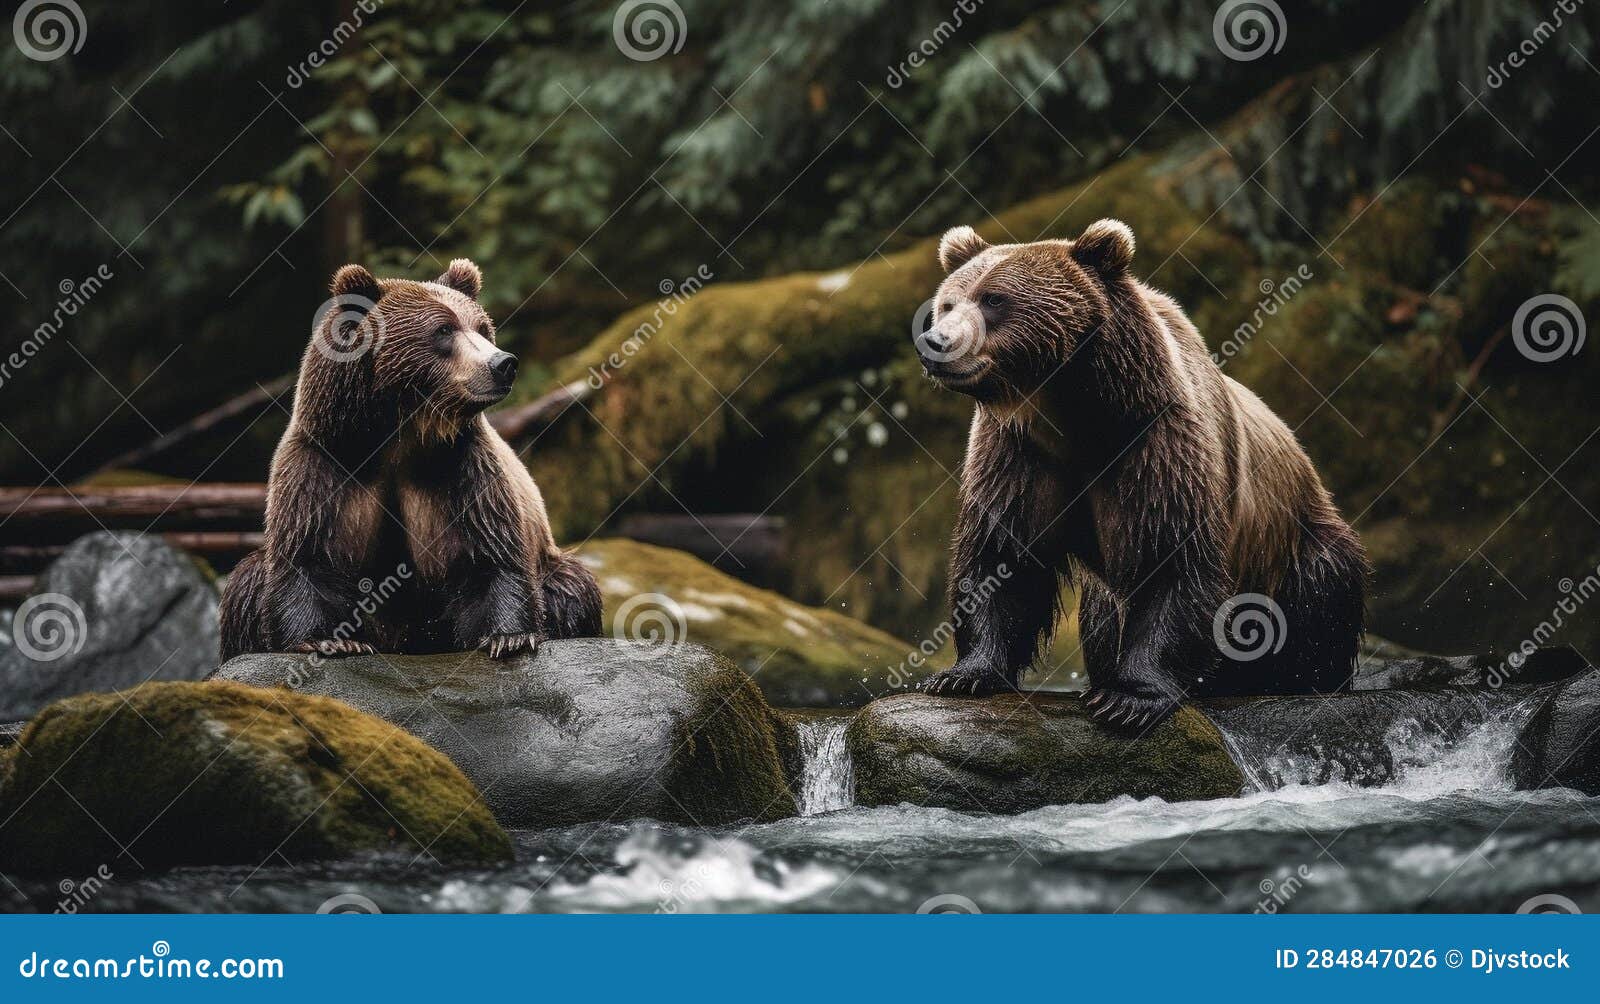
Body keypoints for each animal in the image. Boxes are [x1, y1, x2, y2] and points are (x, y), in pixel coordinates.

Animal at [220, 258, 602, 662]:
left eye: (483, 328)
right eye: (444, 329)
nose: (503, 364)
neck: (399, 434)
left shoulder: (462, 467)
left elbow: (489, 554)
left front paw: (508, 637)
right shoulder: (325, 462)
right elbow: (307, 556)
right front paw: (331, 641)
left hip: (550, 564)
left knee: (574, 588)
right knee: (244, 583)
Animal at [913, 220, 1367, 727]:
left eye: (993, 299)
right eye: (947, 303)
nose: (936, 342)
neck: (1071, 414)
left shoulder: (1154, 441)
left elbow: (1170, 555)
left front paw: (1130, 699)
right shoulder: (1018, 454)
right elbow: (1001, 553)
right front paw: (963, 674)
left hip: (1294, 541)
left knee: (1321, 596)